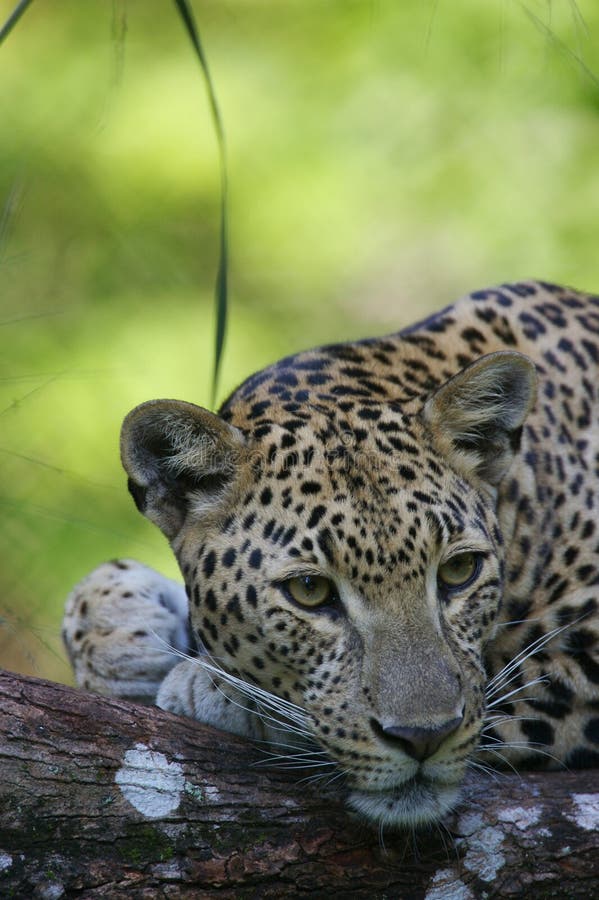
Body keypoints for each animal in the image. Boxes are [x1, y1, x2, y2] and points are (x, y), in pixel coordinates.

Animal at [63, 280, 599, 829]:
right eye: (309, 590)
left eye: (459, 570)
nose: (424, 737)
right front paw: (120, 634)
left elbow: (509, 686)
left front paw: (215, 691)